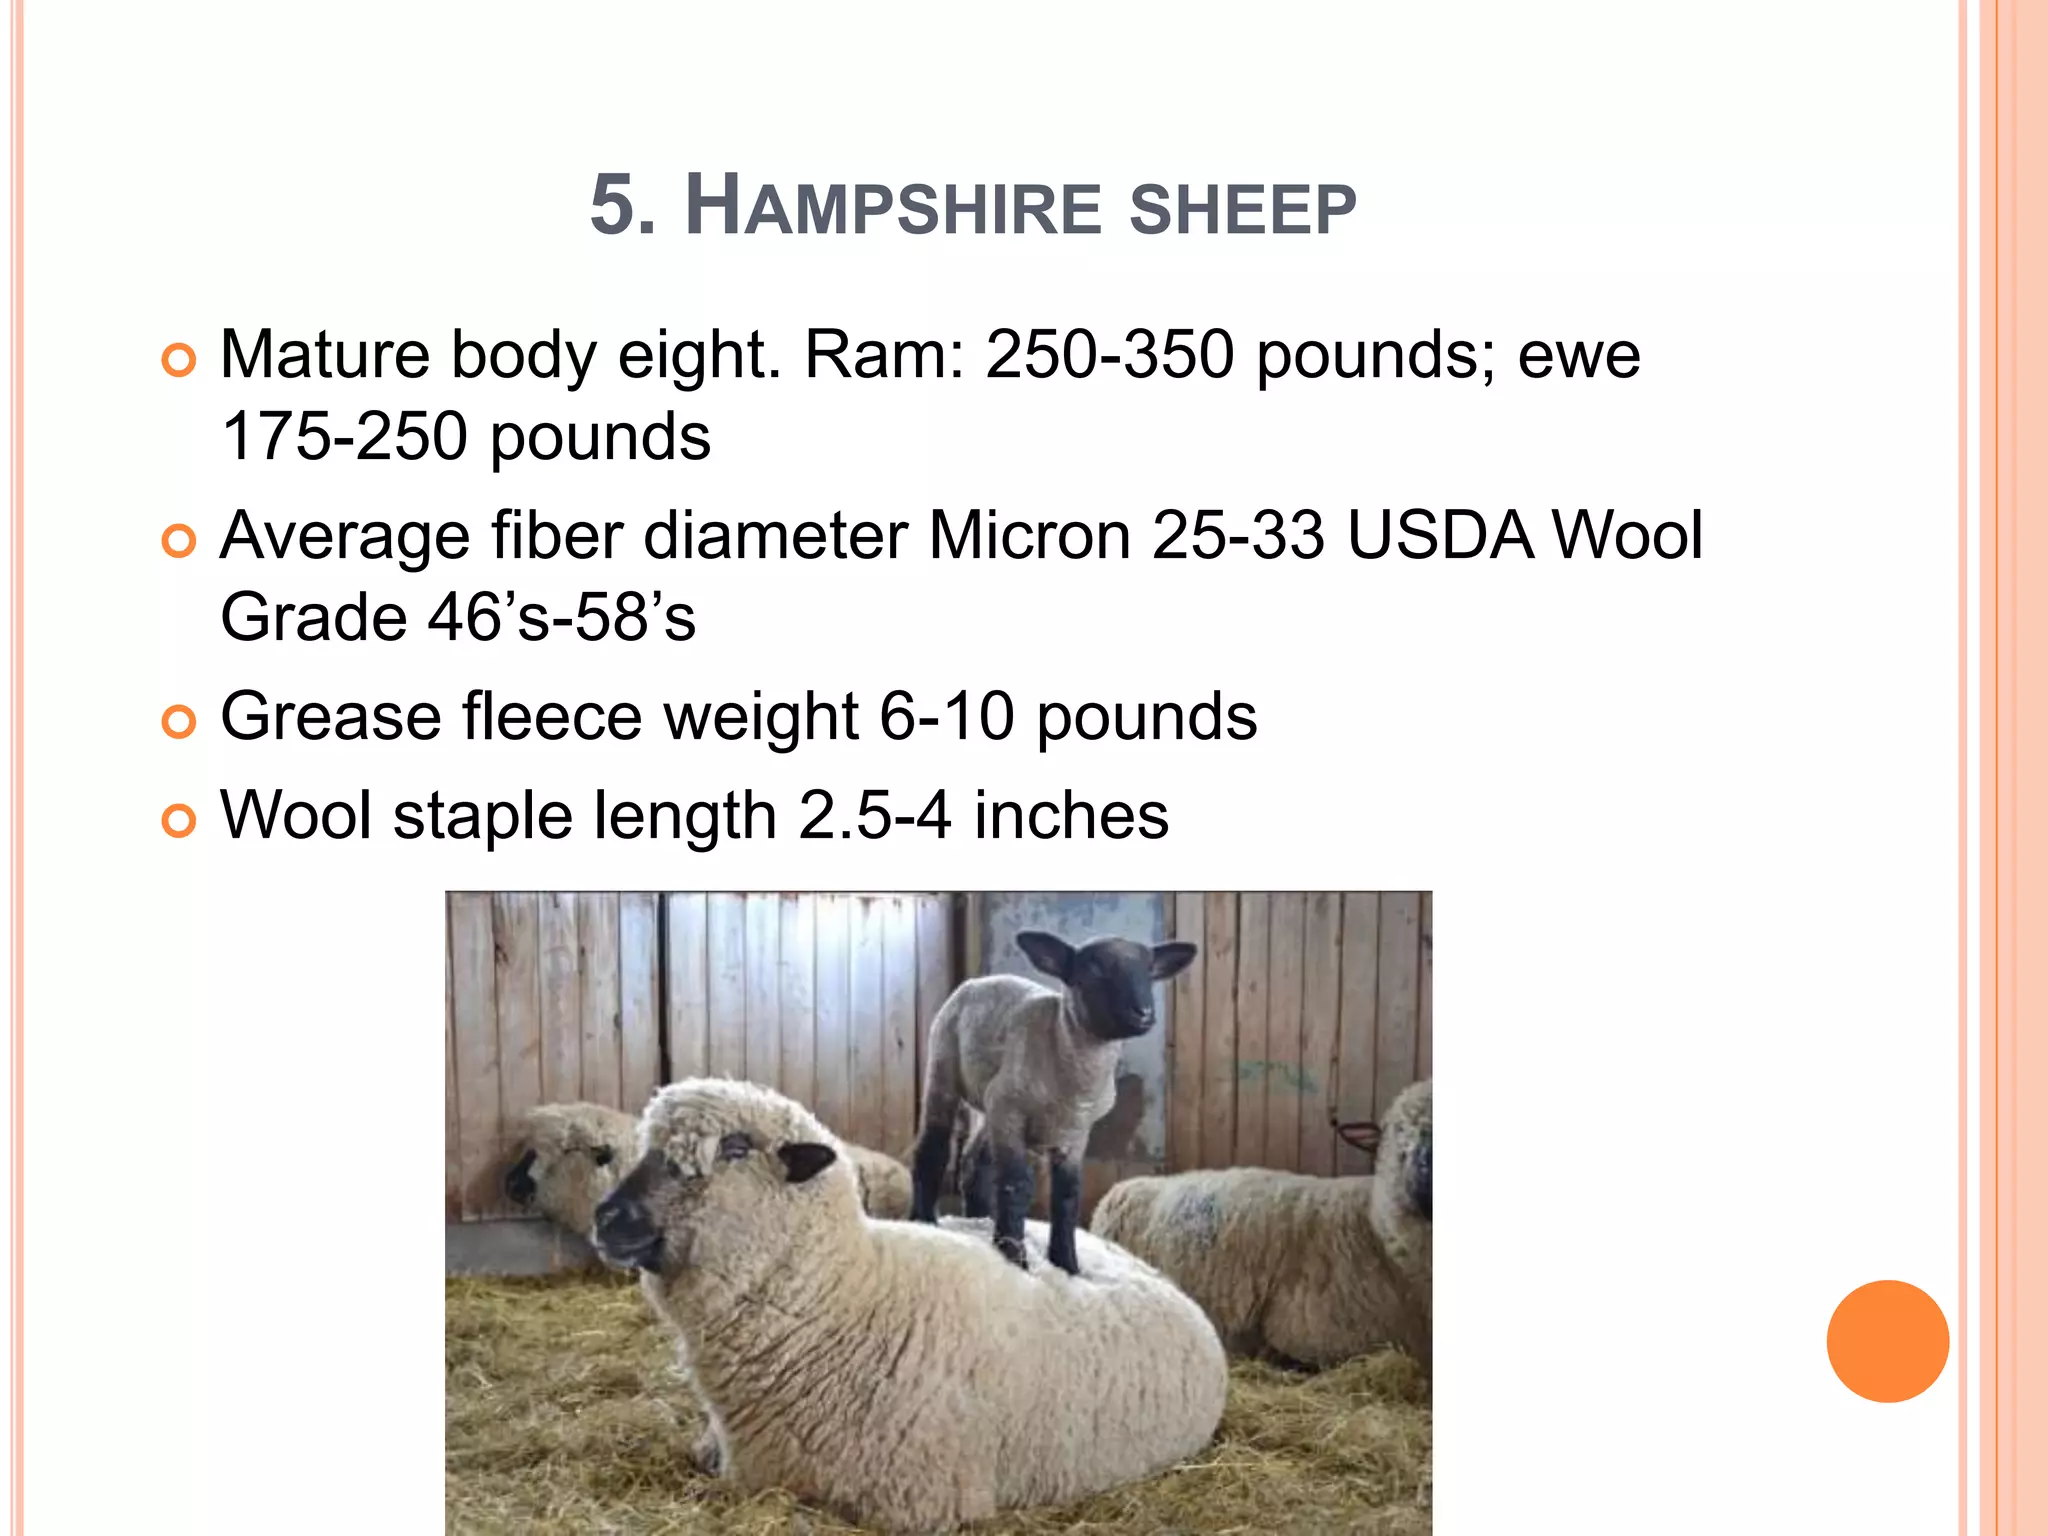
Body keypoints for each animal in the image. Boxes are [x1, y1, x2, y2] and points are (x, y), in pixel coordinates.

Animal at [909, 930, 1198, 1275]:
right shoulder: (1010, 1110)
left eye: (1149, 972)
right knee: (933, 1148)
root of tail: (976, 982)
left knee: (973, 1162)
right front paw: (1014, 1258)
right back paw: (923, 1219)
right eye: (1094, 969)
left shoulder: (1075, 1133)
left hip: (987, 1107)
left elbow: (1067, 1196)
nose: (1143, 1013)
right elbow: (1016, 1184)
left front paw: (1067, 1264)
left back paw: (978, 1219)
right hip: (944, 1068)